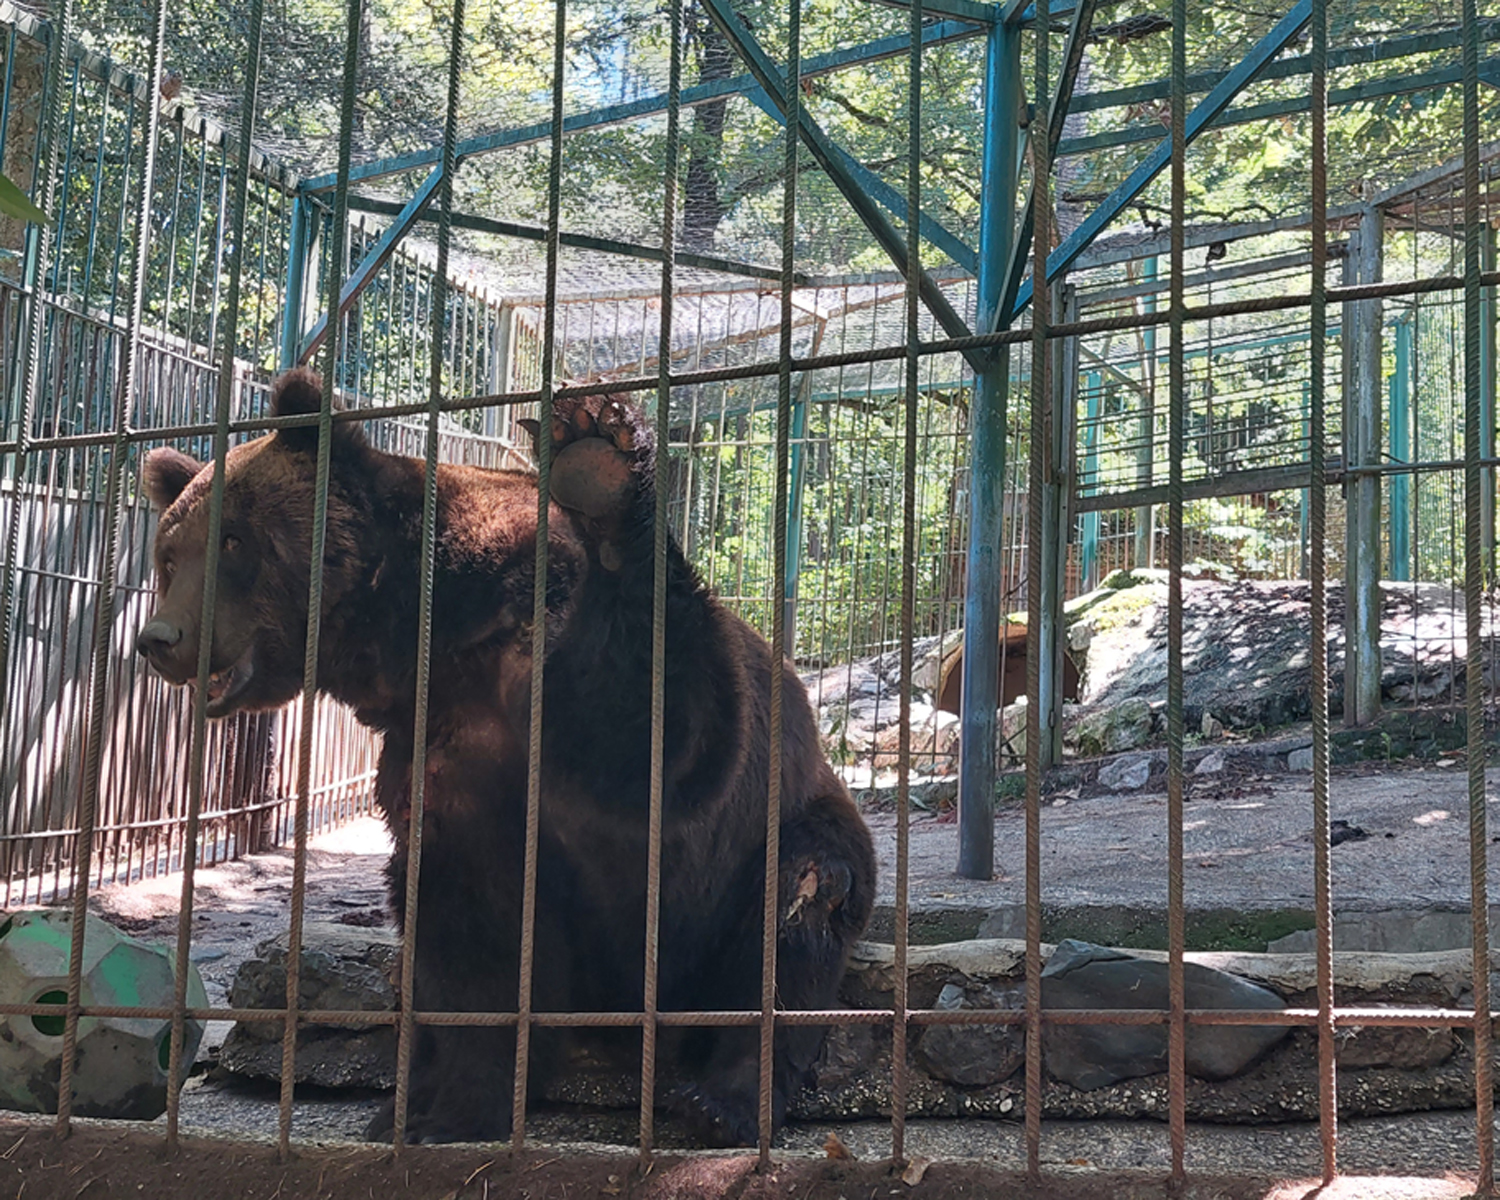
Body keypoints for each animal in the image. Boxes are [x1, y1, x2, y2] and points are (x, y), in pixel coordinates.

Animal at [136, 368, 877, 1147]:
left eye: (233, 540)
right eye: (169, 556)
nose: (161, 637)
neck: (427, 631)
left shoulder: (564, 659)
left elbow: (668, 742)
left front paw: (599, 457)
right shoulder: (442, 756)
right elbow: (470, 930)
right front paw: (437, 1111)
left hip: (778, 836)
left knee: (795, 918)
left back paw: (720, 1098)